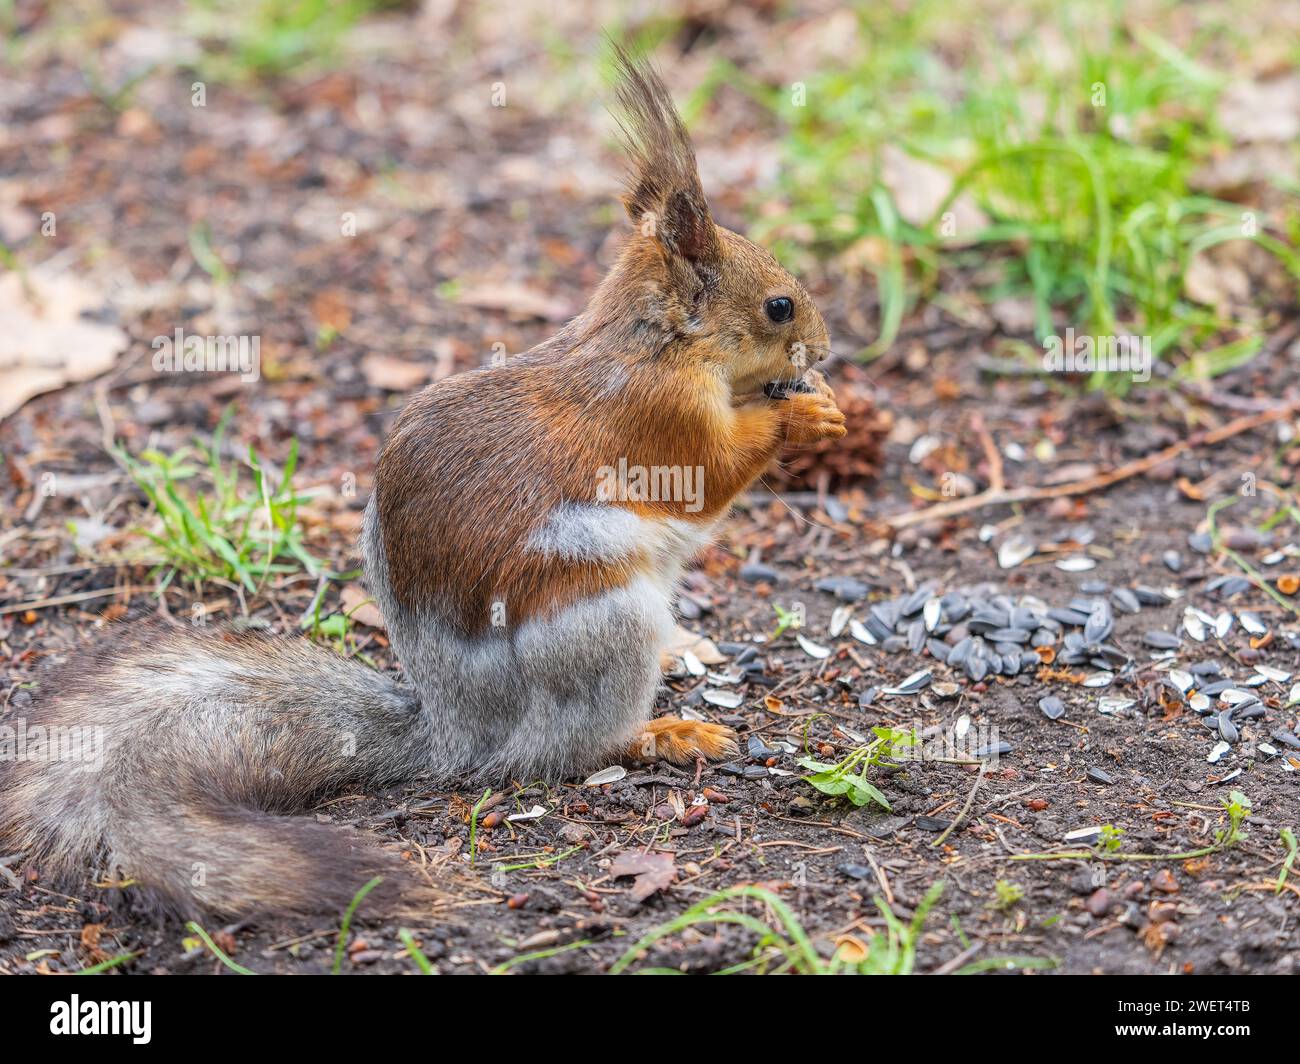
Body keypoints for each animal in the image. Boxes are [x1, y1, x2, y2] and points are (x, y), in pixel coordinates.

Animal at [0, 49, 846, 919]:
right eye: (779, 306)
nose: (823, 346)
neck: (659, 344)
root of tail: (462, 730)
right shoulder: (658, 421)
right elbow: (707, 476)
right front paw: (803, 418)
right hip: (600, 625)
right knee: (579, 745)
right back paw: (661, 735)